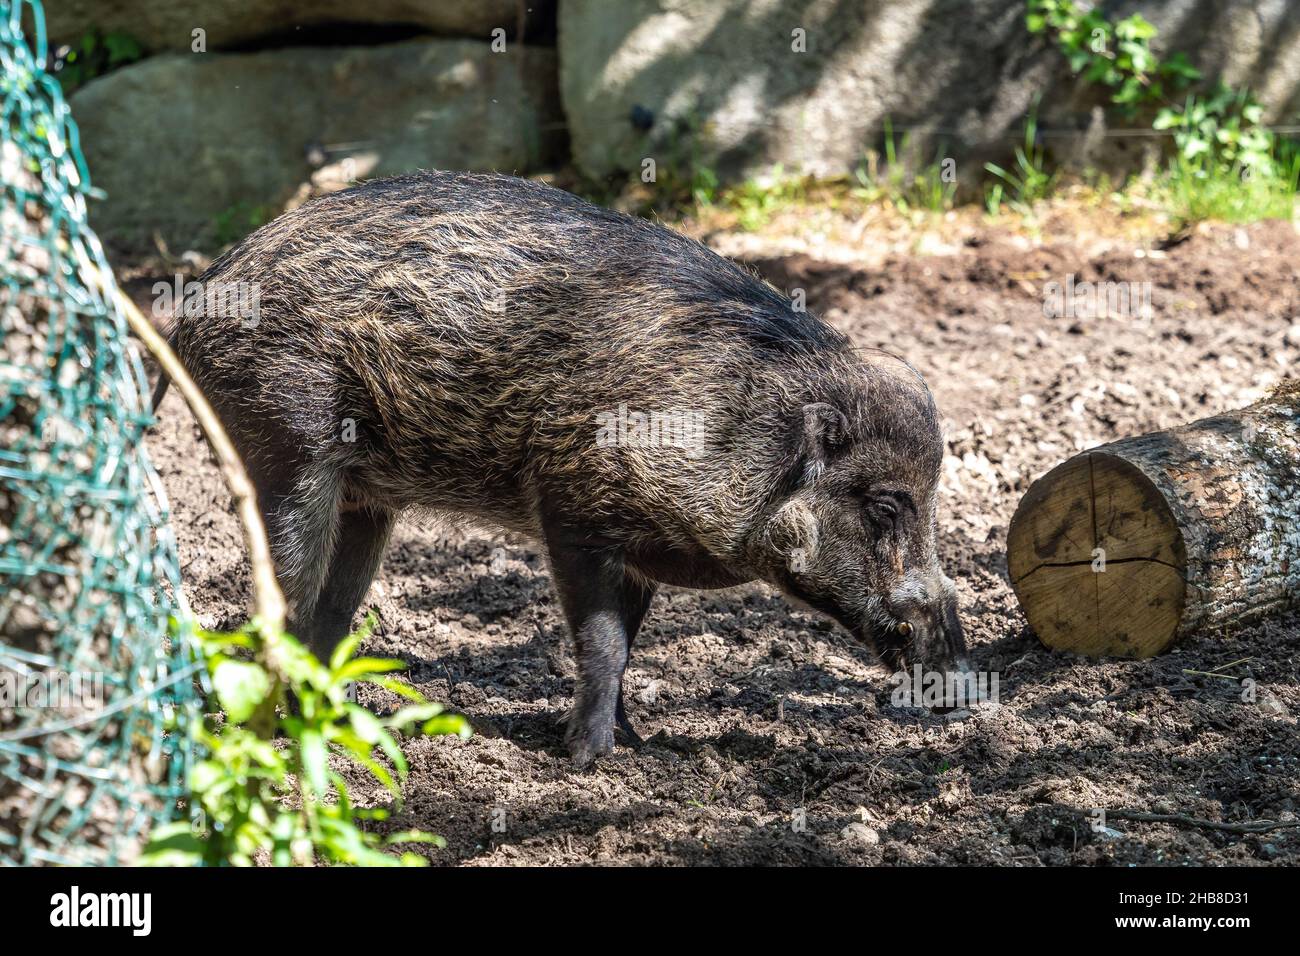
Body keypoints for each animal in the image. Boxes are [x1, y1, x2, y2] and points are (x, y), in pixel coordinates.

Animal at [157, 170, 969, 765]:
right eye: (885, 505)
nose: (962, 682)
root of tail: (203, 289)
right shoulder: (573, 513)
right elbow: (602, 642)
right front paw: (589, 759)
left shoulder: (640, 549)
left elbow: (631, 642)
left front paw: (639, 744)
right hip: (288, 449)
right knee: (283, 599)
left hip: (367, 498)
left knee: (332, 610)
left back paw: (341, 722)